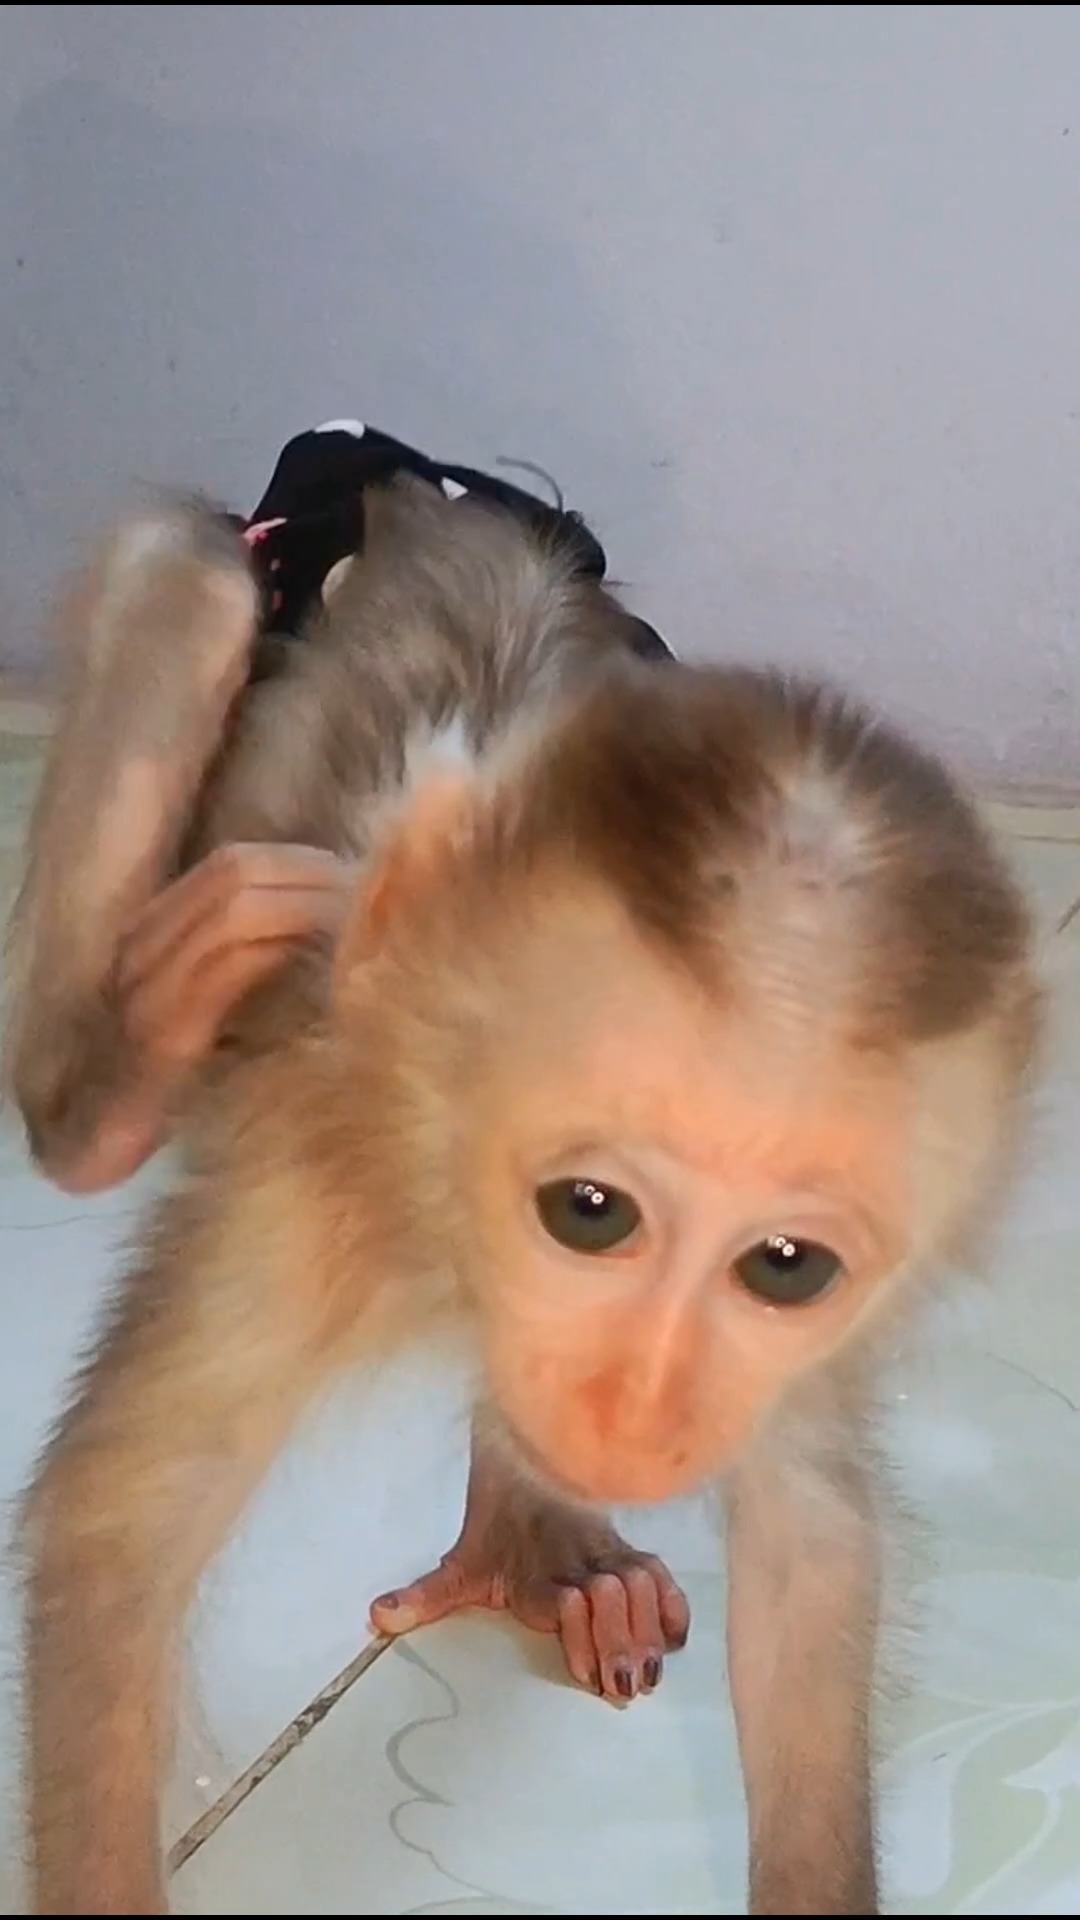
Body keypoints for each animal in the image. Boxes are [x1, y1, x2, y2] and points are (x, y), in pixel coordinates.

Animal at [3, 476, 1039, 1916]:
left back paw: (533, 1539)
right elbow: (115, 1539)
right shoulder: (309, 1183)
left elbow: (812, 1549)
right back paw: (106, 1086)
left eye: (785, 1265)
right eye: (589, 1212)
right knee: (191, 576)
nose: (636, 1409)